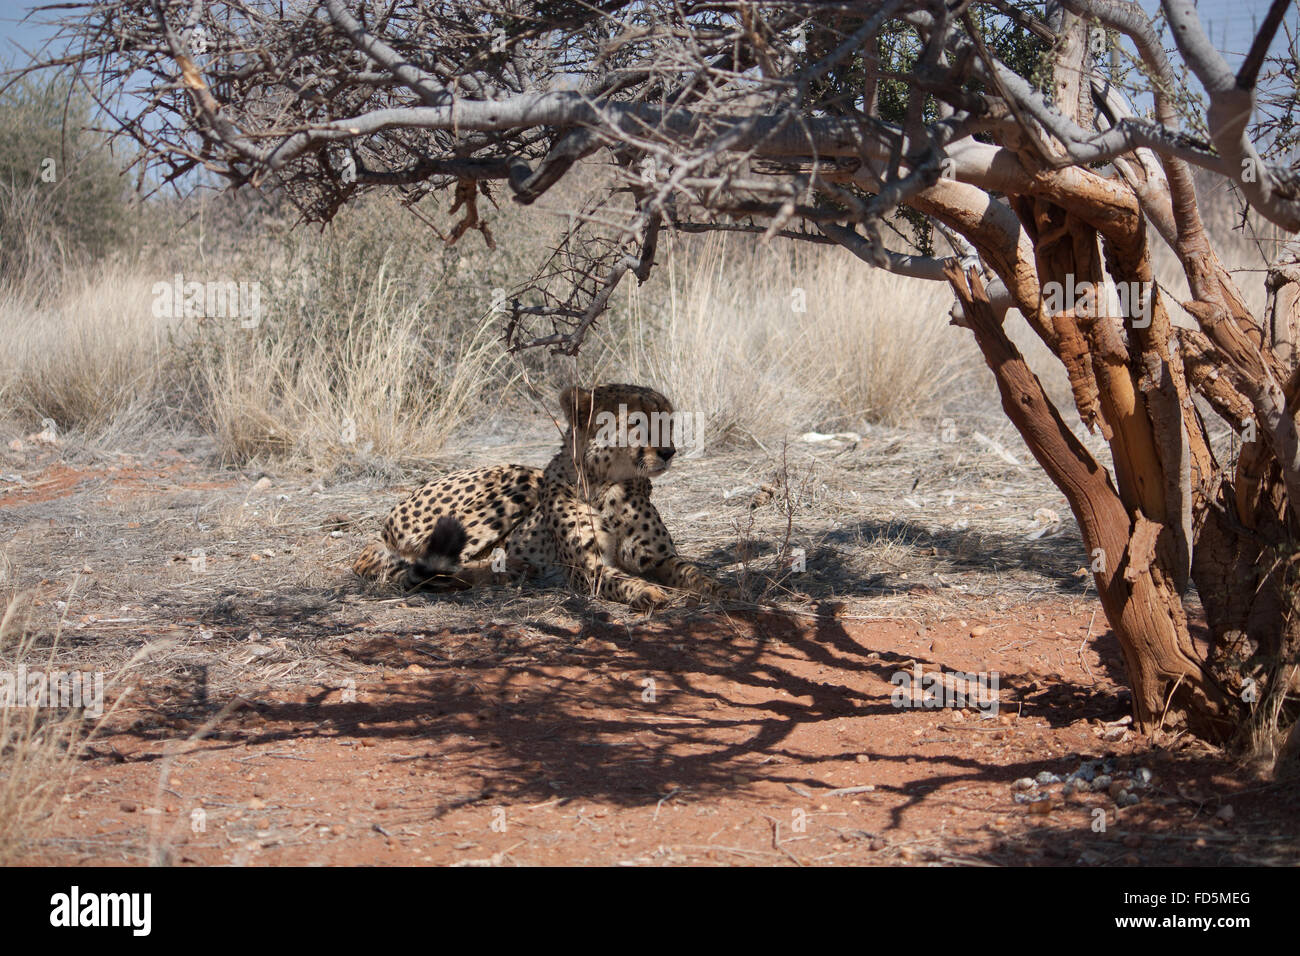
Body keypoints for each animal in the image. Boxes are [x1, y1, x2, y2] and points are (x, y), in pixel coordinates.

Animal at [352, 383, 731, 609]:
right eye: (637, 421)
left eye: (668, 419)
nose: (669, 452)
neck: (610, 484)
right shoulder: (587, 569)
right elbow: (620, 578)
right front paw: (646, 591)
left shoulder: (658, 558)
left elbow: (692, 571)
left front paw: (720, 588)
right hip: (515, 484)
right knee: (428, 567)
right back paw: (509, 569)